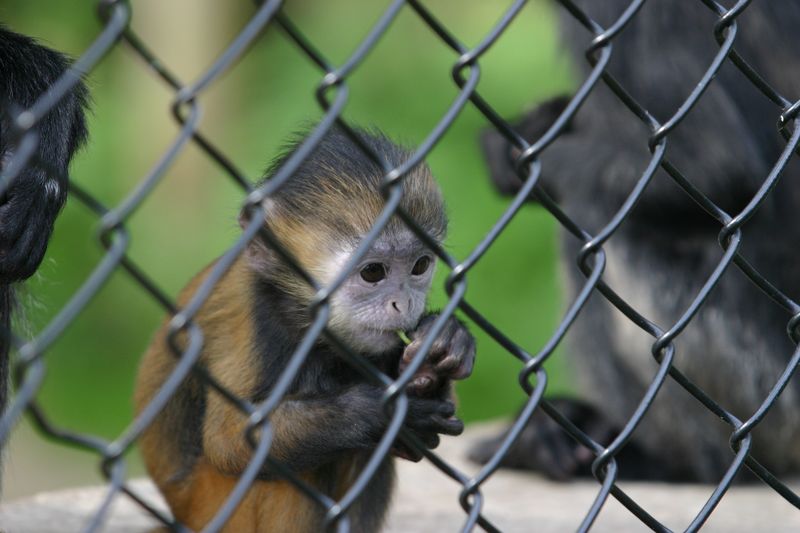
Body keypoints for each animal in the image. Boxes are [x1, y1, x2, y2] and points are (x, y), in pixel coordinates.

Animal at [135, 126, 476, 532]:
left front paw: (445, 345)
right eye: (373, 272)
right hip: (212, 506)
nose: (403, 303)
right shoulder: (251, 318)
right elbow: (229, 442)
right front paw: (384, 409)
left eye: (420, 266)